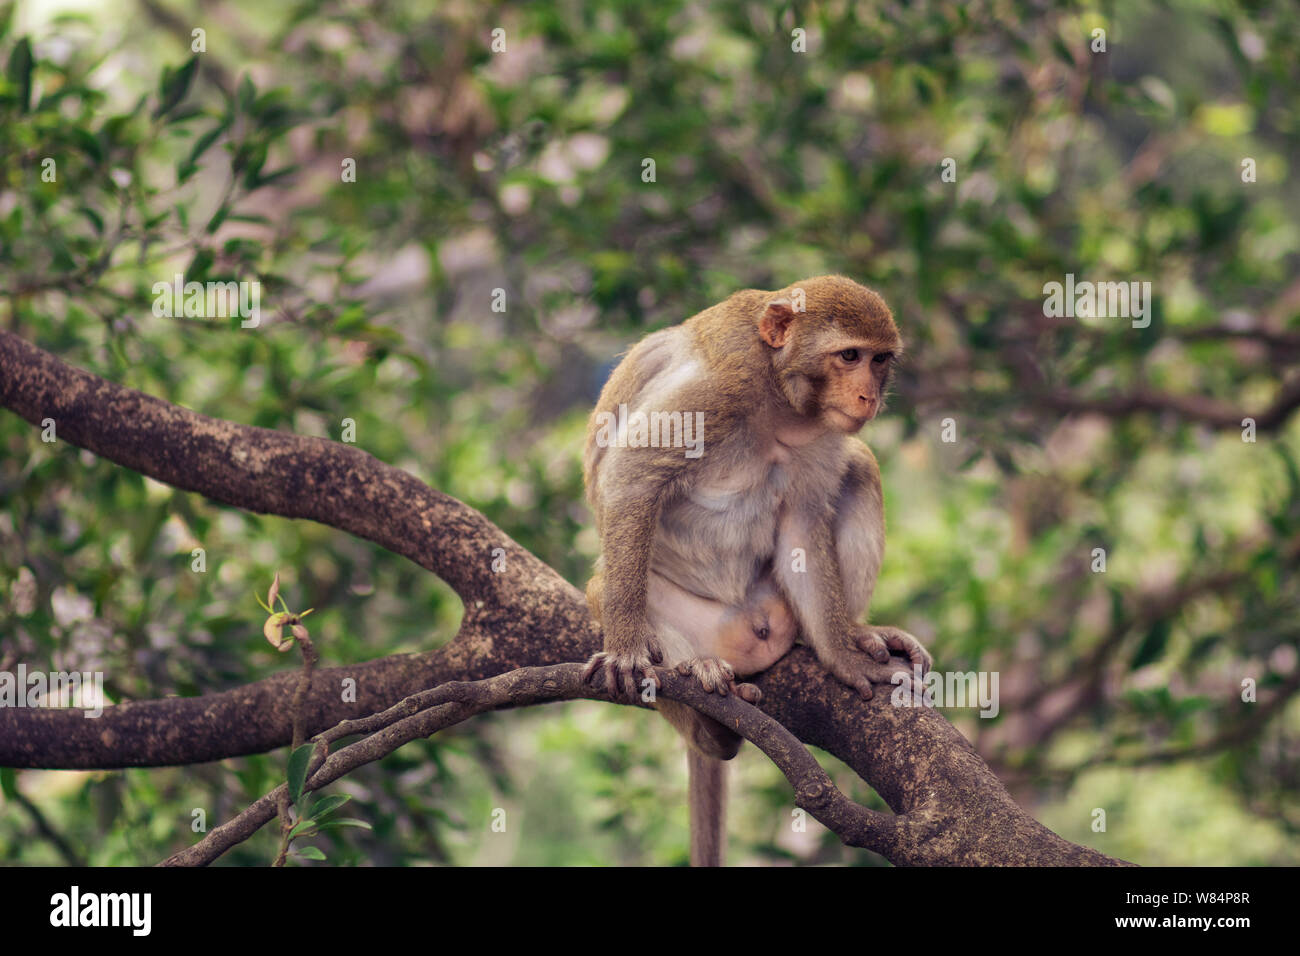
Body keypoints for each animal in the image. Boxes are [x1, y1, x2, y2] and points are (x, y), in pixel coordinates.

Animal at [581, 275, 932, 866]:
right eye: (849, 356)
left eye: (880, 359)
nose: (868, 395)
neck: (778, 395)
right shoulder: (721, 387)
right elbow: (634, 477)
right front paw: (627, 648)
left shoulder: (820, 436)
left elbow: (803, 524)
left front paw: (842, 657)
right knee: (602, 583)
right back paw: (702, 700)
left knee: (860, 464)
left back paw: (849, 631)